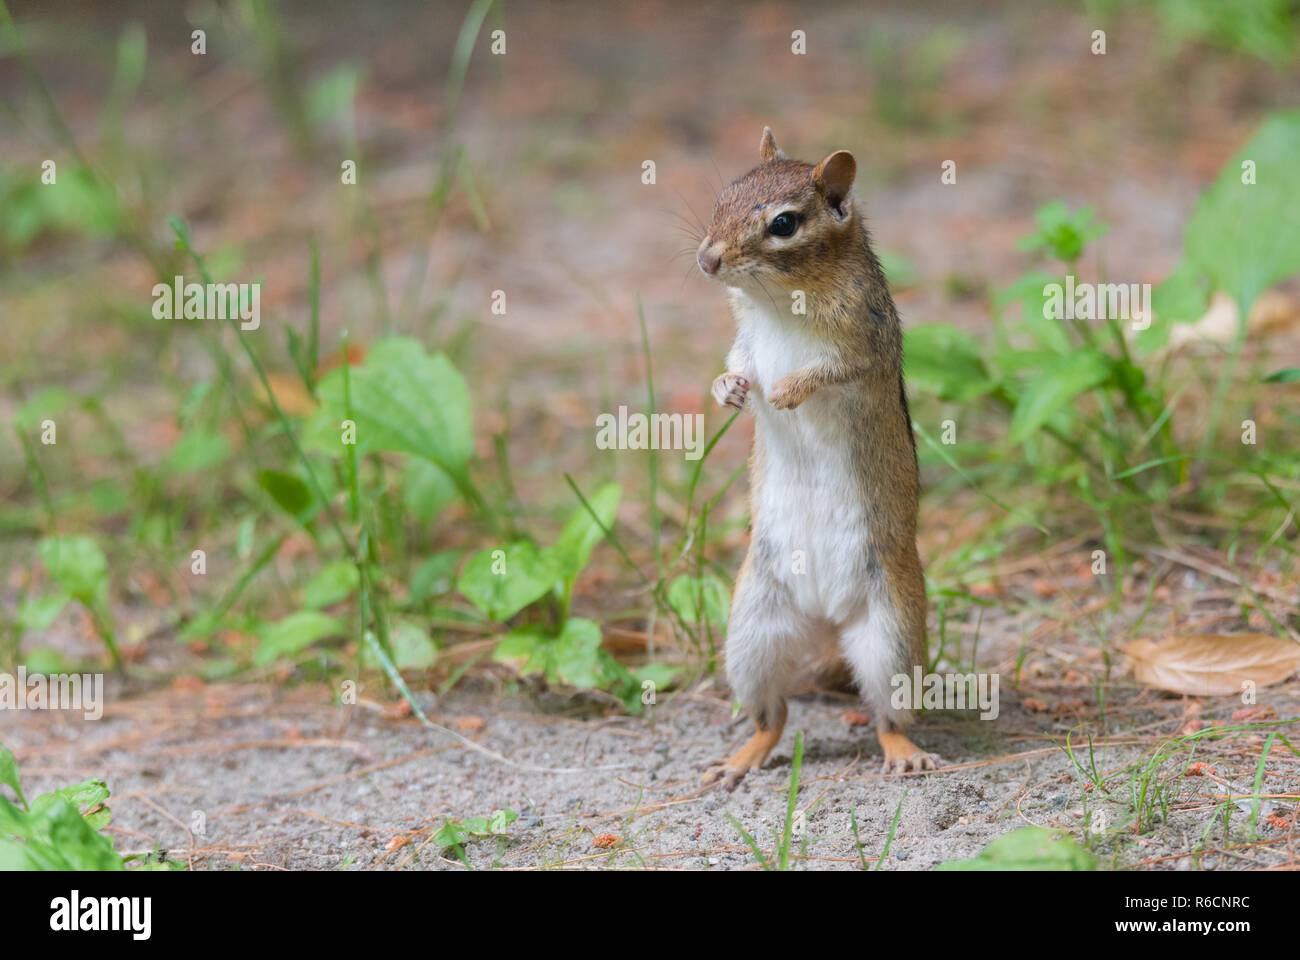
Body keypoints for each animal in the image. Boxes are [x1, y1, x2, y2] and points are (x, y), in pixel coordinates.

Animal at [697, 127, 938, 789]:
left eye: (784, 223)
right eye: (723, 194)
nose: (707, 260)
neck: (779, 301)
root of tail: (827, 619)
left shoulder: (866, 341)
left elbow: (835, 369)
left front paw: (789, 391)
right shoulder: (746, 341)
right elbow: (735, 364)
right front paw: (728, 392)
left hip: (891, 637)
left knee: (886, 713)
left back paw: (904, 751)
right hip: (751, 635)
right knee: (772, 717)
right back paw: (741, 758)